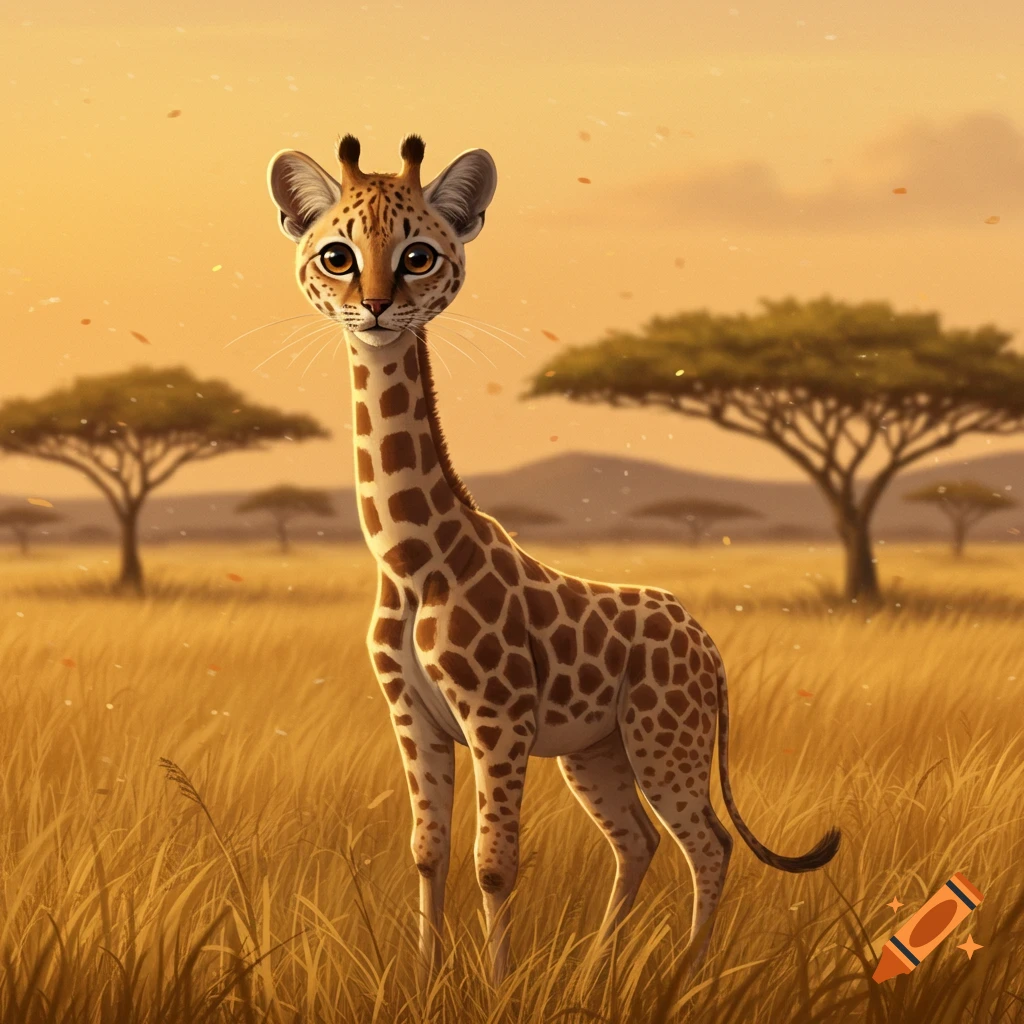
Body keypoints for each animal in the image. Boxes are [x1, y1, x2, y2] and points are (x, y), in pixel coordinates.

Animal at [267, 133, 841, 985]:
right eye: (336, 255)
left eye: (418, 256)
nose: (374, 308)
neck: (411, 560)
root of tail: (706, 643)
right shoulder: (413, 715)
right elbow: (428, 852)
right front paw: (423, 982)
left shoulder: (497, 716)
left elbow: (495, 862)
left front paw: (497, 988)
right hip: (597, 752)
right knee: (637, 840)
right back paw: (598, 968)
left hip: (664, 738)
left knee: (707, 841)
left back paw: (683, 977)